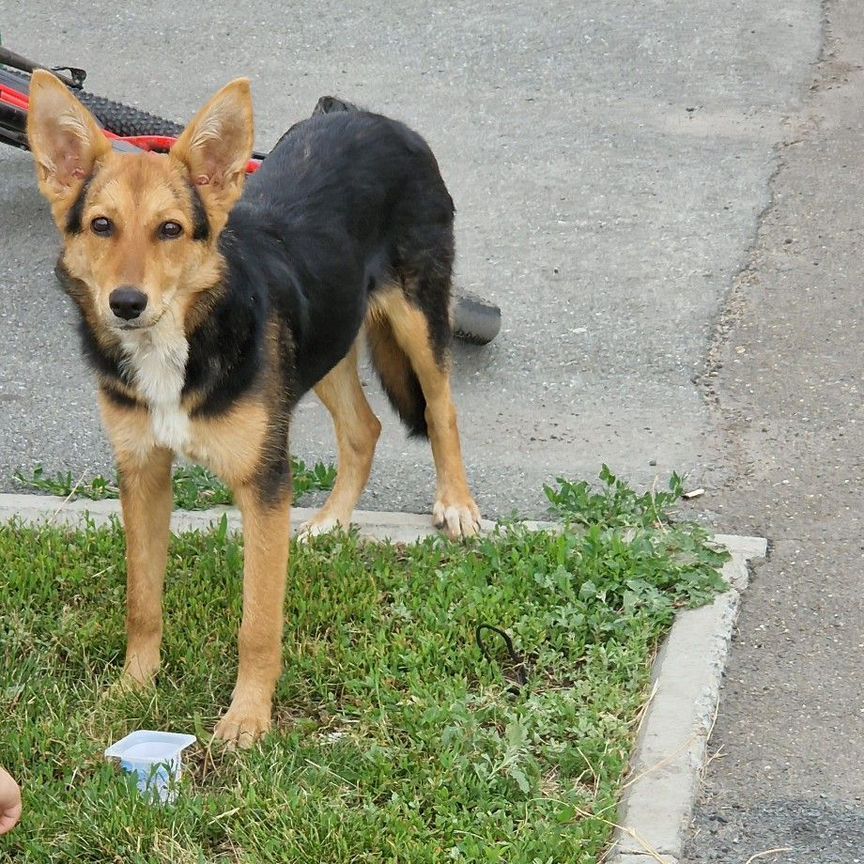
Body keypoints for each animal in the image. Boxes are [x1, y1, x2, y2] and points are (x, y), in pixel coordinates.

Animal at [27, 71, 482, 744]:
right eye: (102, 225)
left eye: (170, 230)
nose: (127, 304)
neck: (180, 341)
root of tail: (361, 114)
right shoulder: (143, 474)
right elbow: (142, 601)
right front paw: (134, 687)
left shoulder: (264, 486)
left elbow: (258, 625)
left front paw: (246, 719)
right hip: (326, 338)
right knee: (364, 427)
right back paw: (333, 520)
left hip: (418, 316)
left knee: (441, 409)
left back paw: (456, 506)